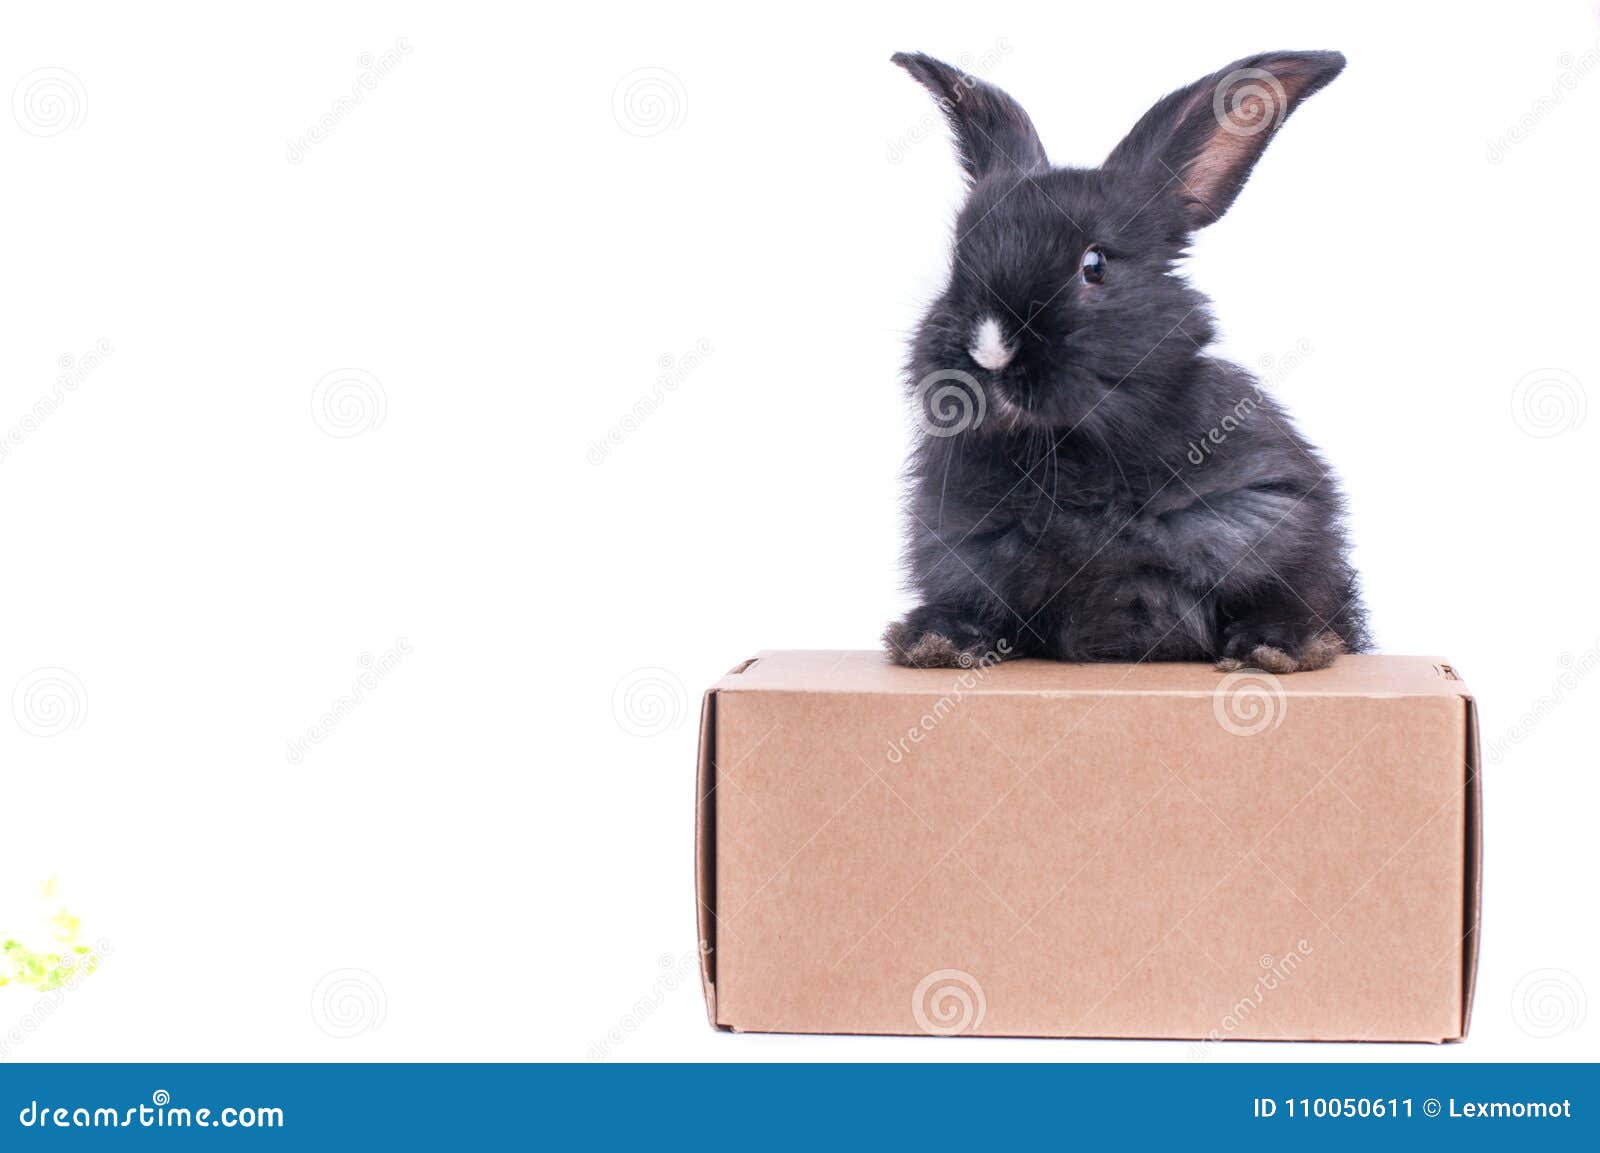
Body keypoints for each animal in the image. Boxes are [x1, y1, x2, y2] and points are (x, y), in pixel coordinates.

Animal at [883, 50, 1370, 675]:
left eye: (1094, 265)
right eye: (957, 263)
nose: (990, 349)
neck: (1066, 451)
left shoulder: (1274, 514)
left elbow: (1287, 595)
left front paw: (1274, 651)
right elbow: (975, 606)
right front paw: (937, 642)